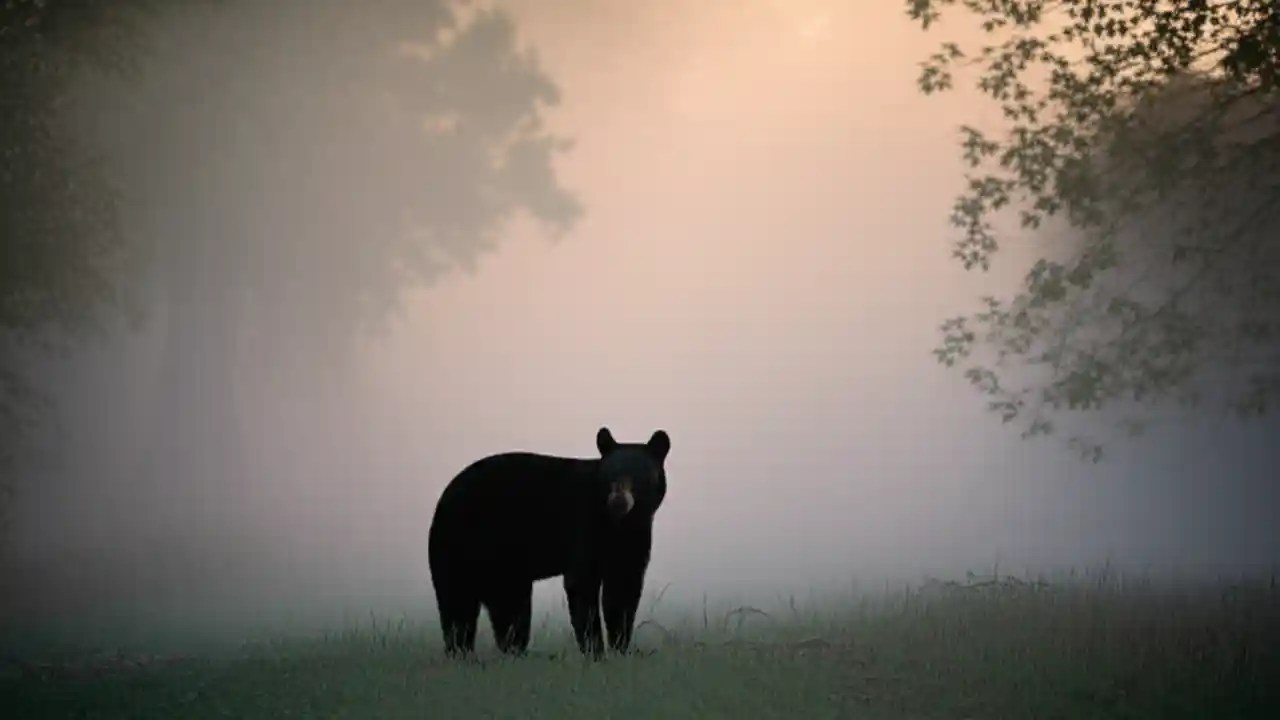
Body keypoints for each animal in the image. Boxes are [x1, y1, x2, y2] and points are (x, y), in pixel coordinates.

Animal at [428, 427, 671, 659]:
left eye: (639, 476)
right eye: (611, 474)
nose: (618, 501)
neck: (618, 524)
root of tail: (443, 500)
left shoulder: (634, 538)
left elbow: (623, 588)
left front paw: (620, 647)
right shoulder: (584, 526)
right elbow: (582, 585)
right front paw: (595, 650)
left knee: (499, 607)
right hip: (471, 545)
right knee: (468, 604)